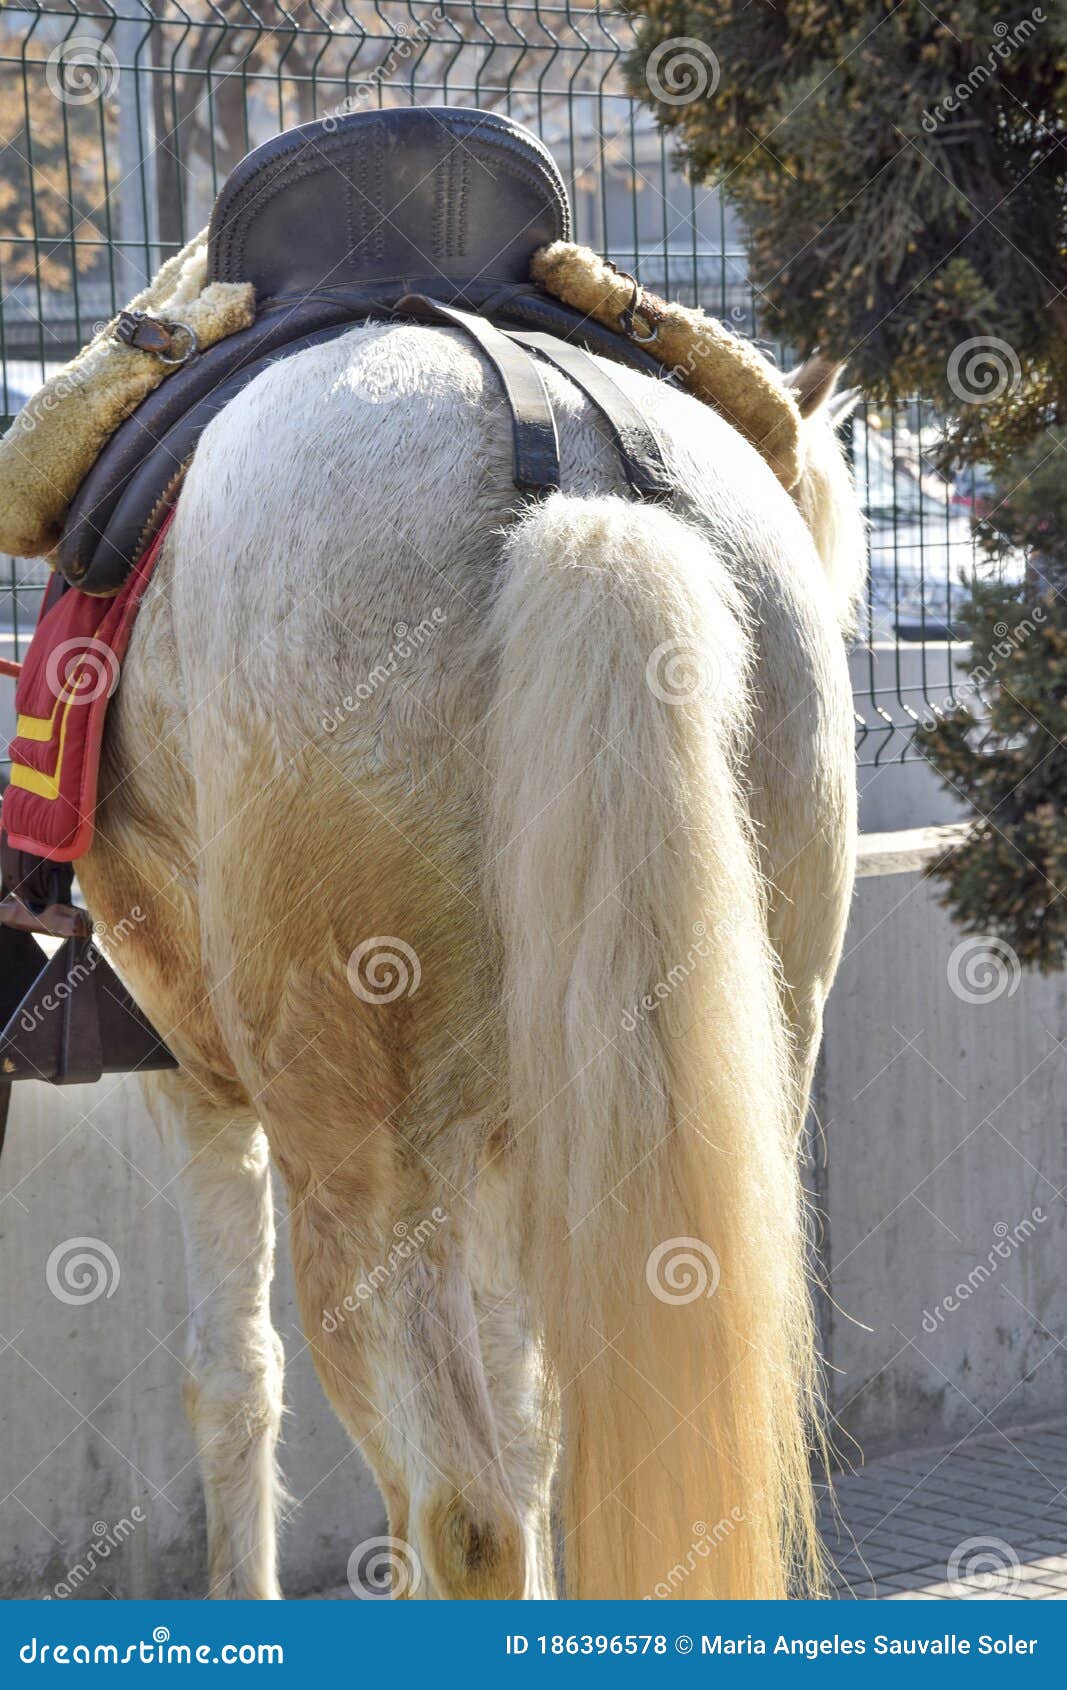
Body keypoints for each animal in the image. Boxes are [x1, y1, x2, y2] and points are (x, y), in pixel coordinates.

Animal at [73, 323, 865, 1601]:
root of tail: (578, 488)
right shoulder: (503, 1145)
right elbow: (526, 1408)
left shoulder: (195, 1083)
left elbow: (232, 1377)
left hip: (361, 1158)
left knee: (454, 1511)